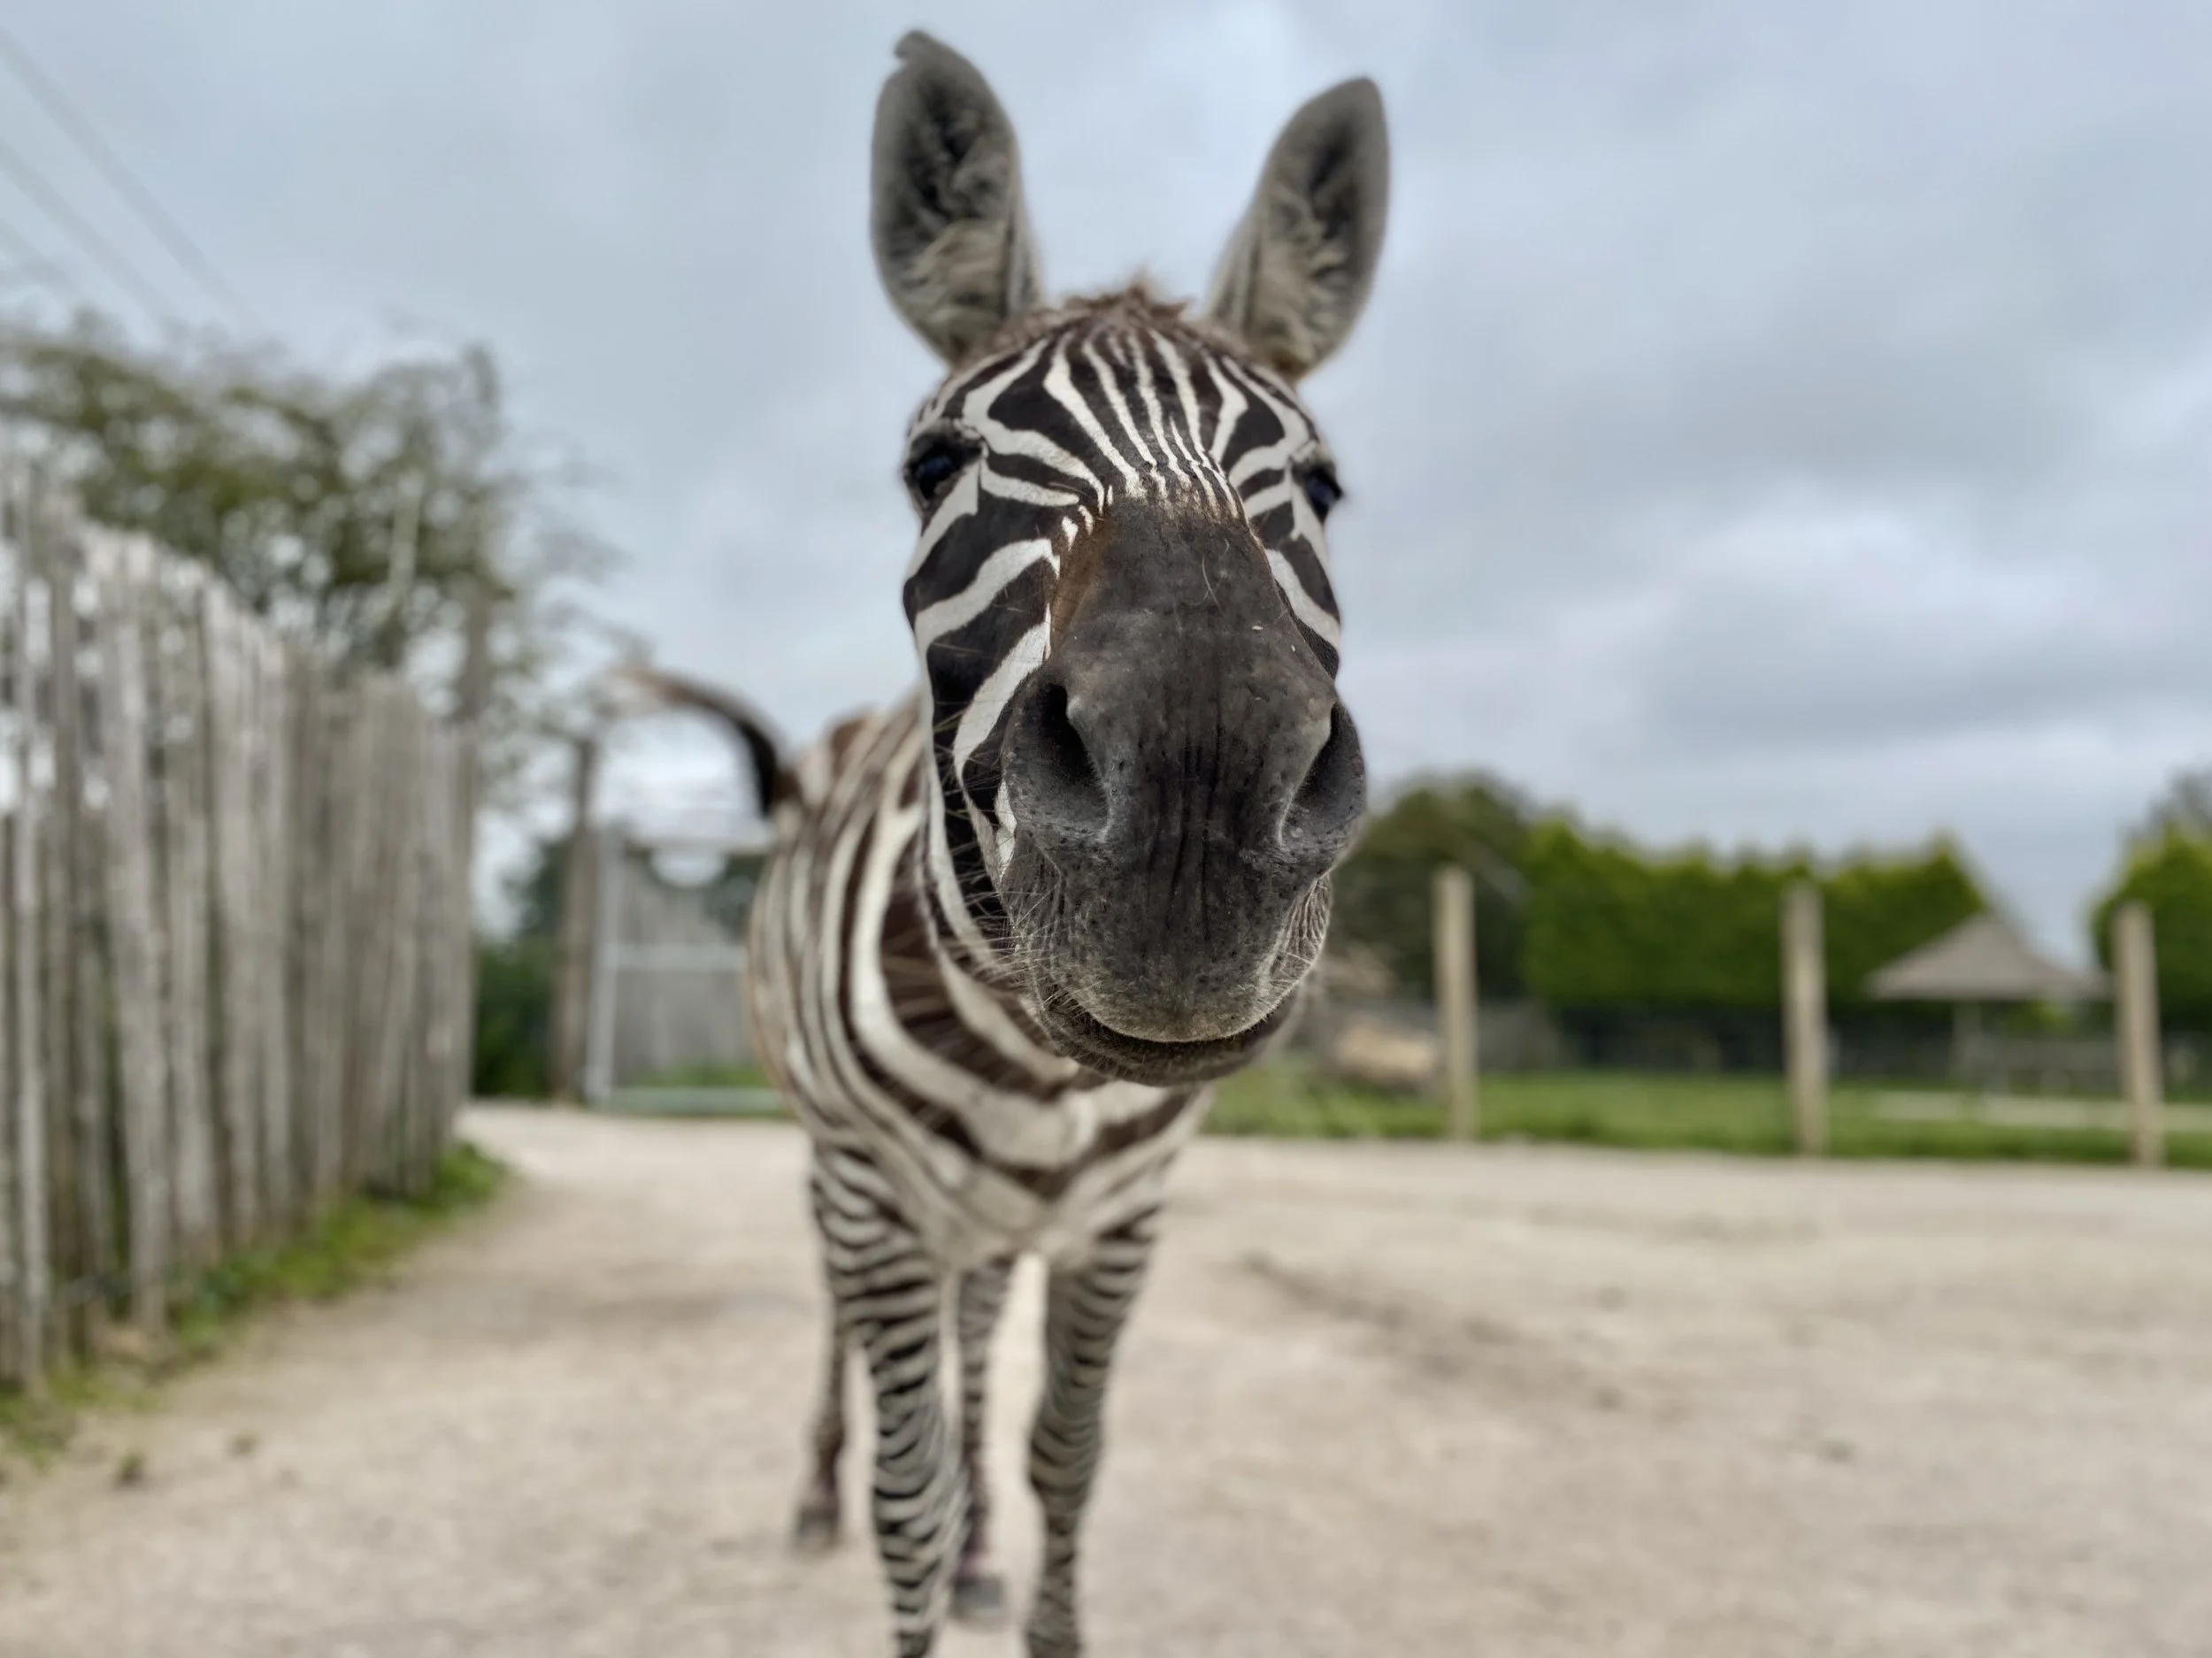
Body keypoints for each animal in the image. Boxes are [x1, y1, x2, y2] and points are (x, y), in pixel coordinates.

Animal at [628, 31, 1388, 1658]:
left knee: (981, 1343)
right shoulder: (874, 1190)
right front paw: (900, 1524)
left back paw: (982, 1551)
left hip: (992, 1220)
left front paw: (1012, 1567)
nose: (1195, 820)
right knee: (847, 1339)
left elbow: (1068, 1453)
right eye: (933, 464)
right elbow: (904, 1492)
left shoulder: (1120, 1216)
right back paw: (814, 1489)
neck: (1043, 1063)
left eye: (1323, 485)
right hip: (846, 1173)